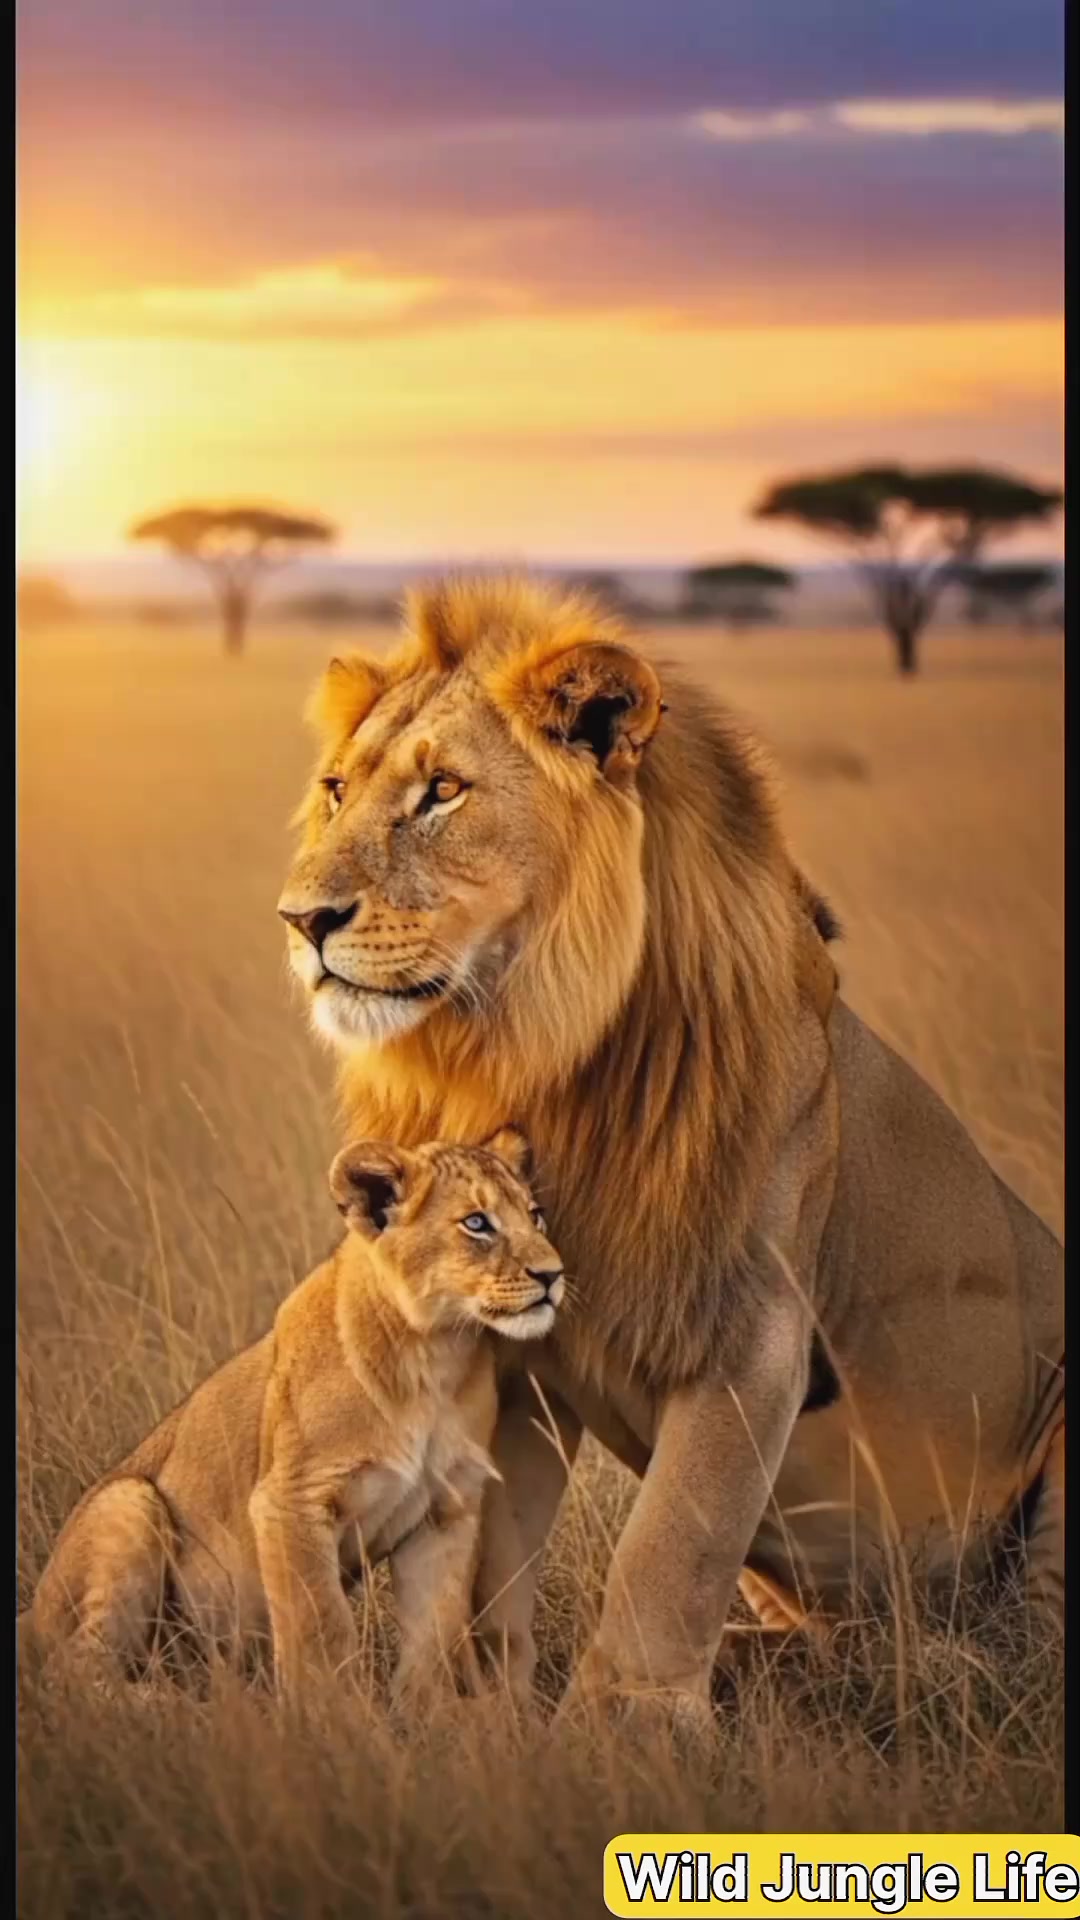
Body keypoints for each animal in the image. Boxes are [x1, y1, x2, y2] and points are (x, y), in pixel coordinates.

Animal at [18, 1127, 564, 1710]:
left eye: (535, 1215)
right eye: (477, 1223)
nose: (553, 1274)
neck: (434, 1354)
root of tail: (28, 1615)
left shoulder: (445, 1510)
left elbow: (433, 1634)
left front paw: (433, 1718)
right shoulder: (292, 1499)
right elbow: (320, 1626)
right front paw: (336, 1719)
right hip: (130, 1500)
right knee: (72, 1673)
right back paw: (189, 1706)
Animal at [278, 574, 1064, 1726]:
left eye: (443, 793)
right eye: (337, 790)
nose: (300, 918)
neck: (541, 1061)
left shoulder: (754, 1330)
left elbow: (671, 1546)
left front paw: (622, 1729)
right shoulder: (514, 1357)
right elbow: (492, 1552)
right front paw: (482, 1708)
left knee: (1030, 1645)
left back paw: (938, 1673)